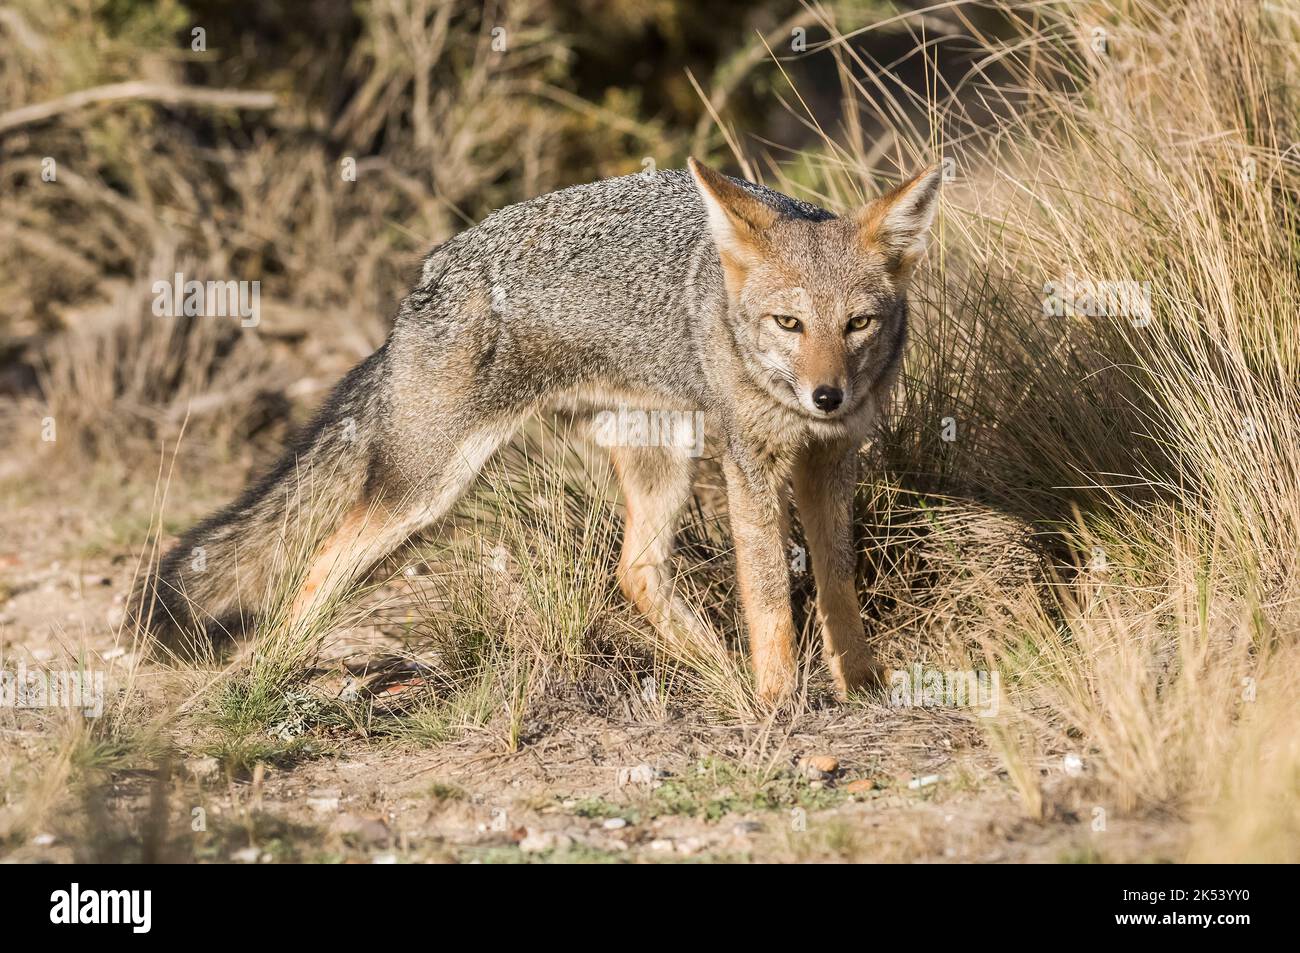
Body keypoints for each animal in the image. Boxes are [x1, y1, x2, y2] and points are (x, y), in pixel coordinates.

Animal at [137, 158, 941, 703]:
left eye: (858, 324)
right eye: (789, 323)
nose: (827, 395)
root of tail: (425, 279)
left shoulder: (831, 458)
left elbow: (838, 579)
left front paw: (861, 684)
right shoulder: (752, 463)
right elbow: (772, 591)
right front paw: (779, 702)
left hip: (660, 455)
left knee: (634, 570)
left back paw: (719, 670)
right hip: (427, 486)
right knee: (319, 563)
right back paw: (263, 673)